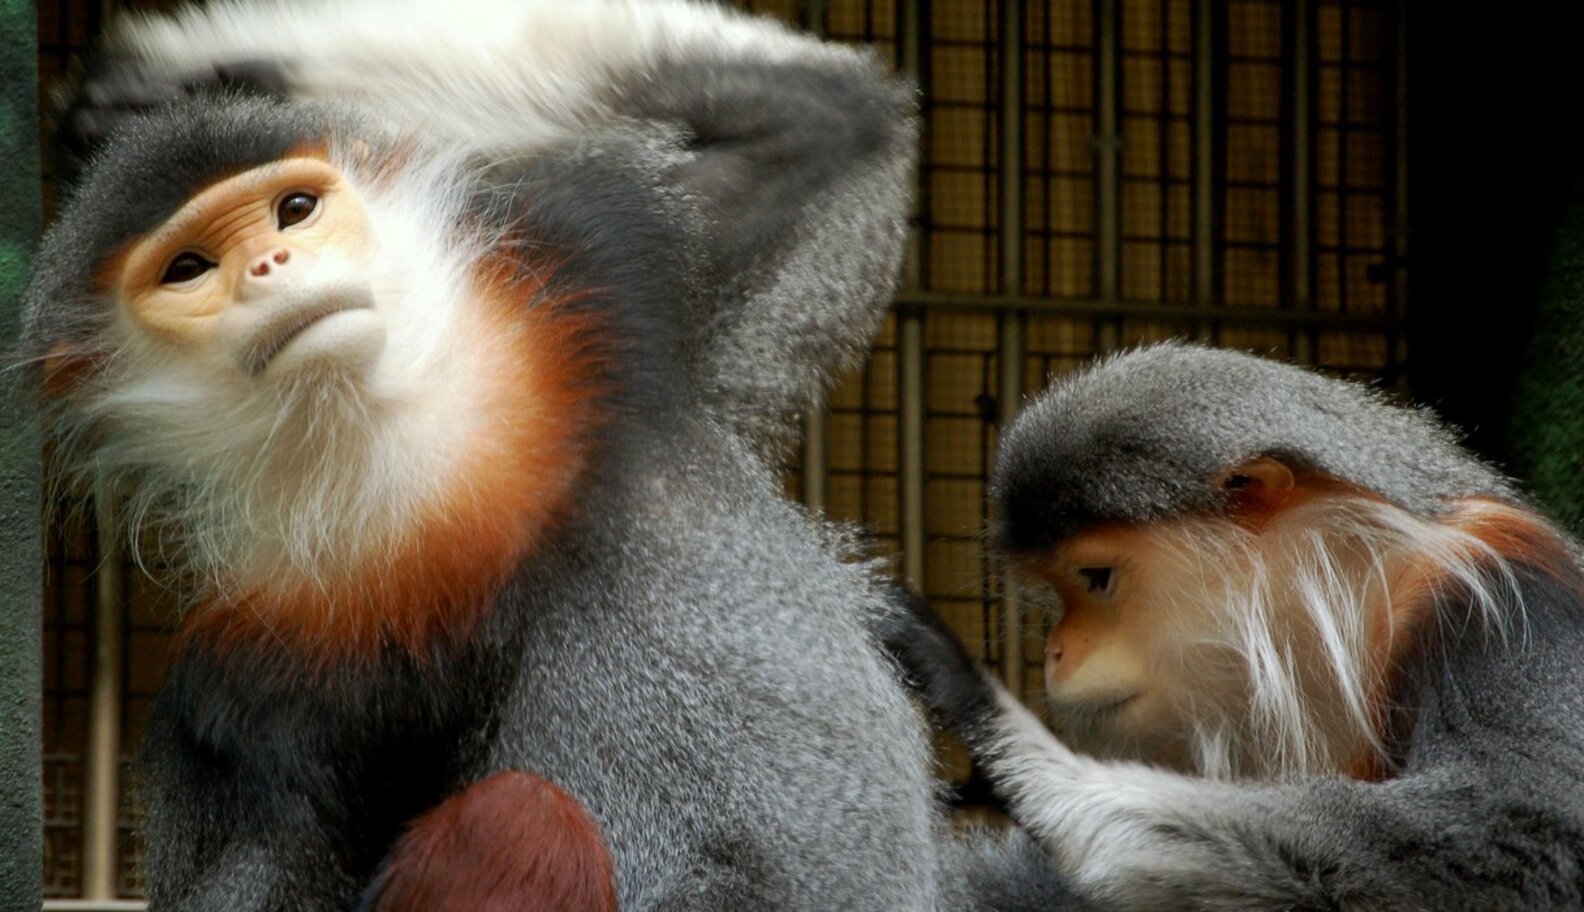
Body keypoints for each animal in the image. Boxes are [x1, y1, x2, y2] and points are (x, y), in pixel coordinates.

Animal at [12, 1, 1093, 908]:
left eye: (293, 212)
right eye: (190, 268)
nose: (274, 266)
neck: (389, 444)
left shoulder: (602, 265)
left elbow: (816, 125)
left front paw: (184, 74)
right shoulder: (236, 688)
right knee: (518, 820)